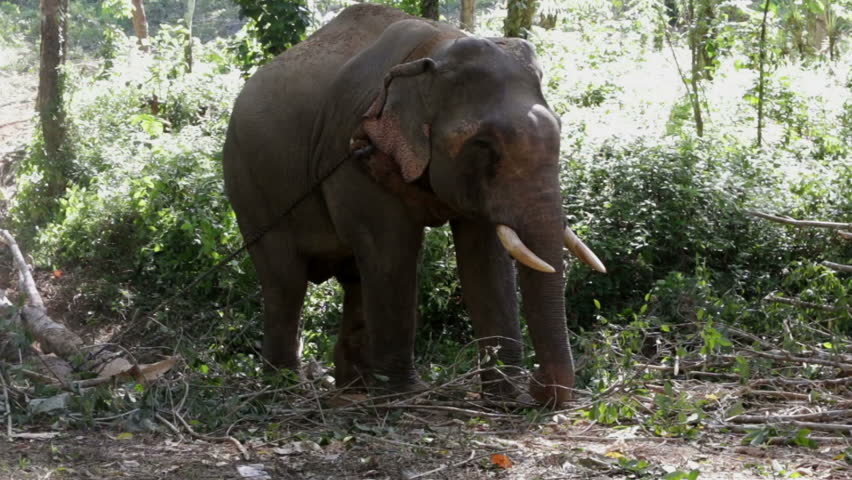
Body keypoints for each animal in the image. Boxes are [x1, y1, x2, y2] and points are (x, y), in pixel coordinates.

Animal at [222, 4, 605, 406]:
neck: (435, 49)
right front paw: (406, 396)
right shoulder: (355, 151)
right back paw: (285, 390)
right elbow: (393, 254)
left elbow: (485, 261)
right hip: (248, 186)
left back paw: (354, 390)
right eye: (483, 144)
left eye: (559, 130)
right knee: (286, 282)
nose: (538, 384)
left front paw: (505, 399)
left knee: (353, 278)